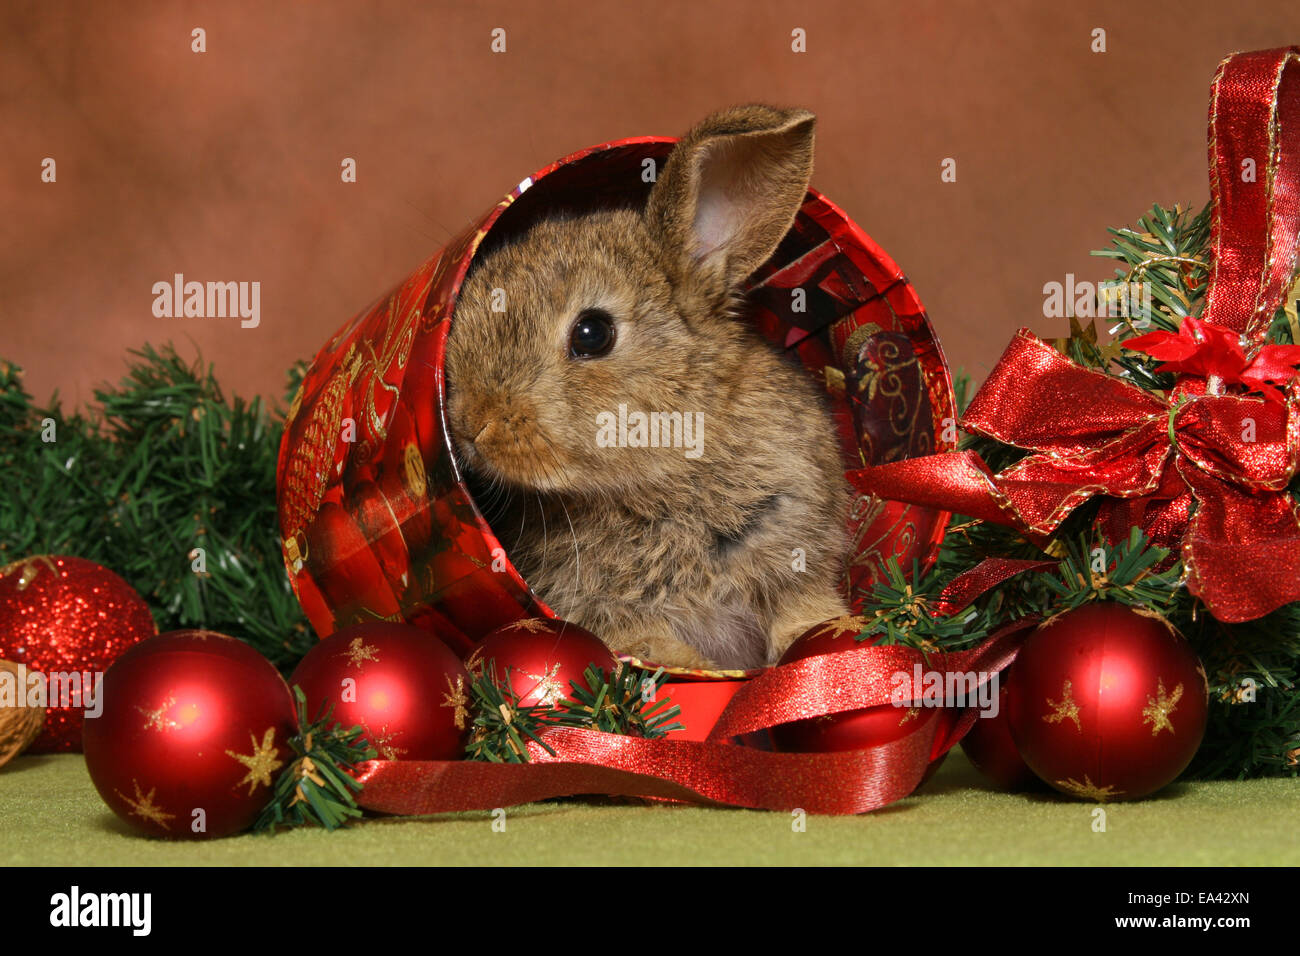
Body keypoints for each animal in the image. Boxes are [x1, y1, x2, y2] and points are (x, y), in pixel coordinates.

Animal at [444, 105, 851, 670]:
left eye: (592, 333)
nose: (469, 423)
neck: (667, 469)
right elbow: (649, 642)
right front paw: (694, 666)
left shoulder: (797, 550)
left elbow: (803, 612)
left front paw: (831, 635)